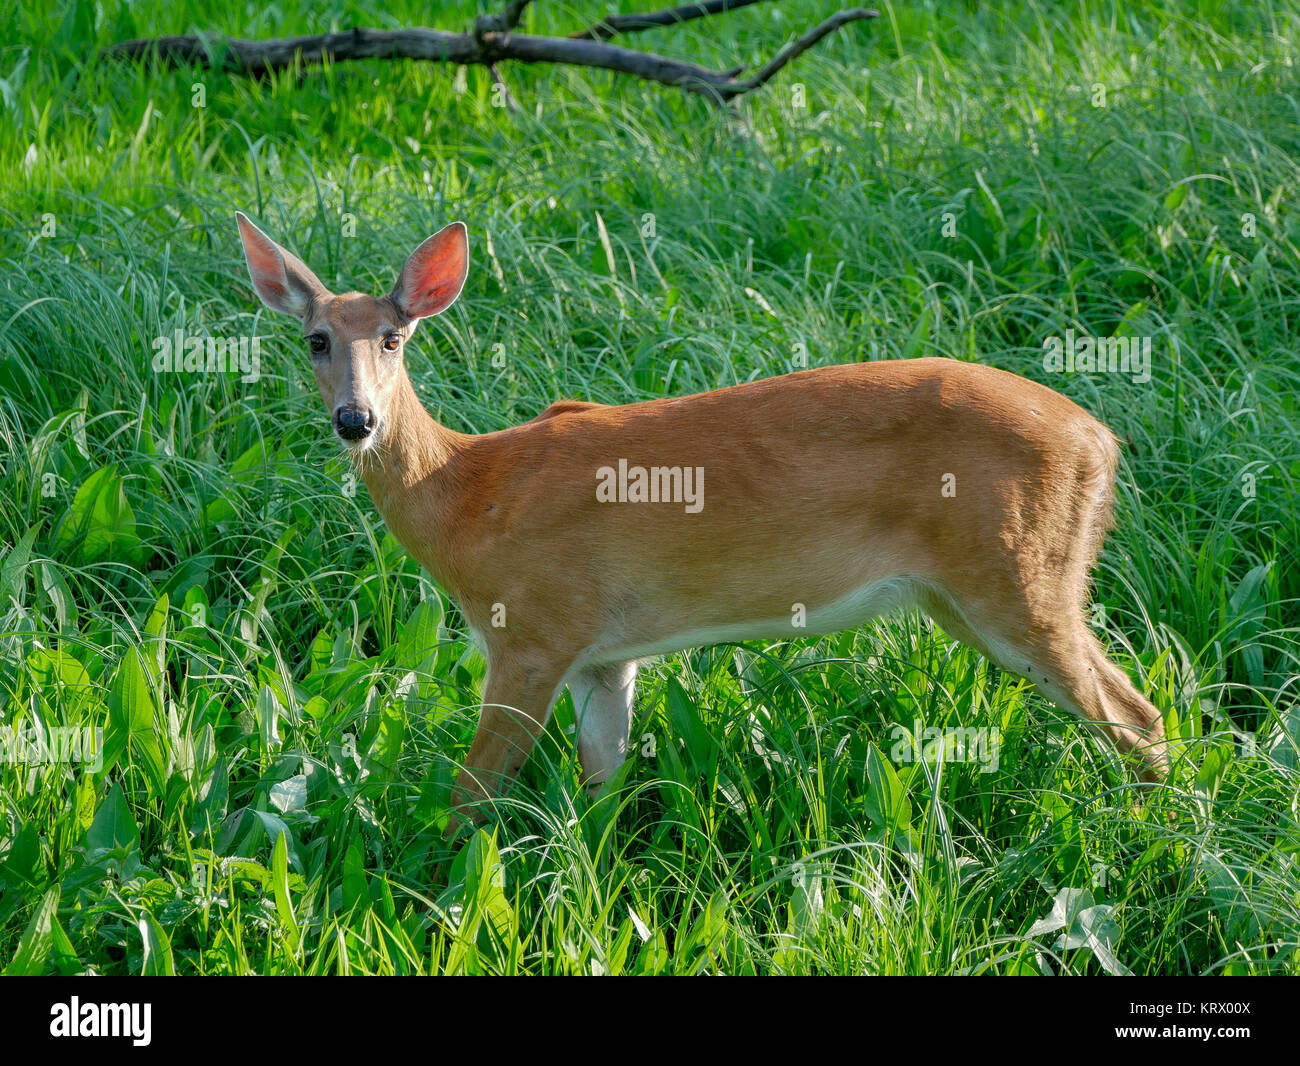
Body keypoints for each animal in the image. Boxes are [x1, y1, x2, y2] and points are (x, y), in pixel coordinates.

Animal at [235, 211, 1168, 831]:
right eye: (317, 339)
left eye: (394, 338)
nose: (356, 420)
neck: (467, 494)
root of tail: (1101, 441)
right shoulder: (602, 656)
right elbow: (599, 790)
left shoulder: (531, 629)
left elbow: (474, 794)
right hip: (969, 595)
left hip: (1016, 574)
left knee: (1137, 714)